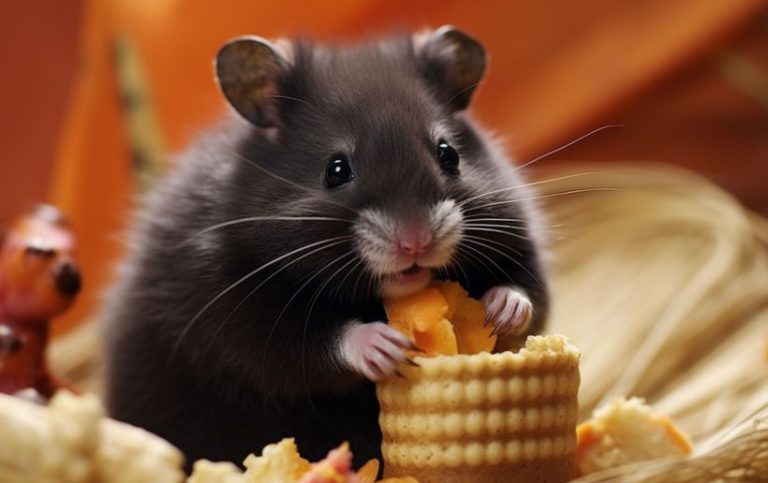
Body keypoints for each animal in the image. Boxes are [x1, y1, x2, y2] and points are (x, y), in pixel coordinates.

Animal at [102, 26, 550, 471]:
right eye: (336, 170)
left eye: (449, 155)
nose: (415, 242)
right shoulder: (235, 311)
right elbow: (309, 344)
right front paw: (384, 346)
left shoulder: (520, 235)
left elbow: (529, 294)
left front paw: (502, 309)